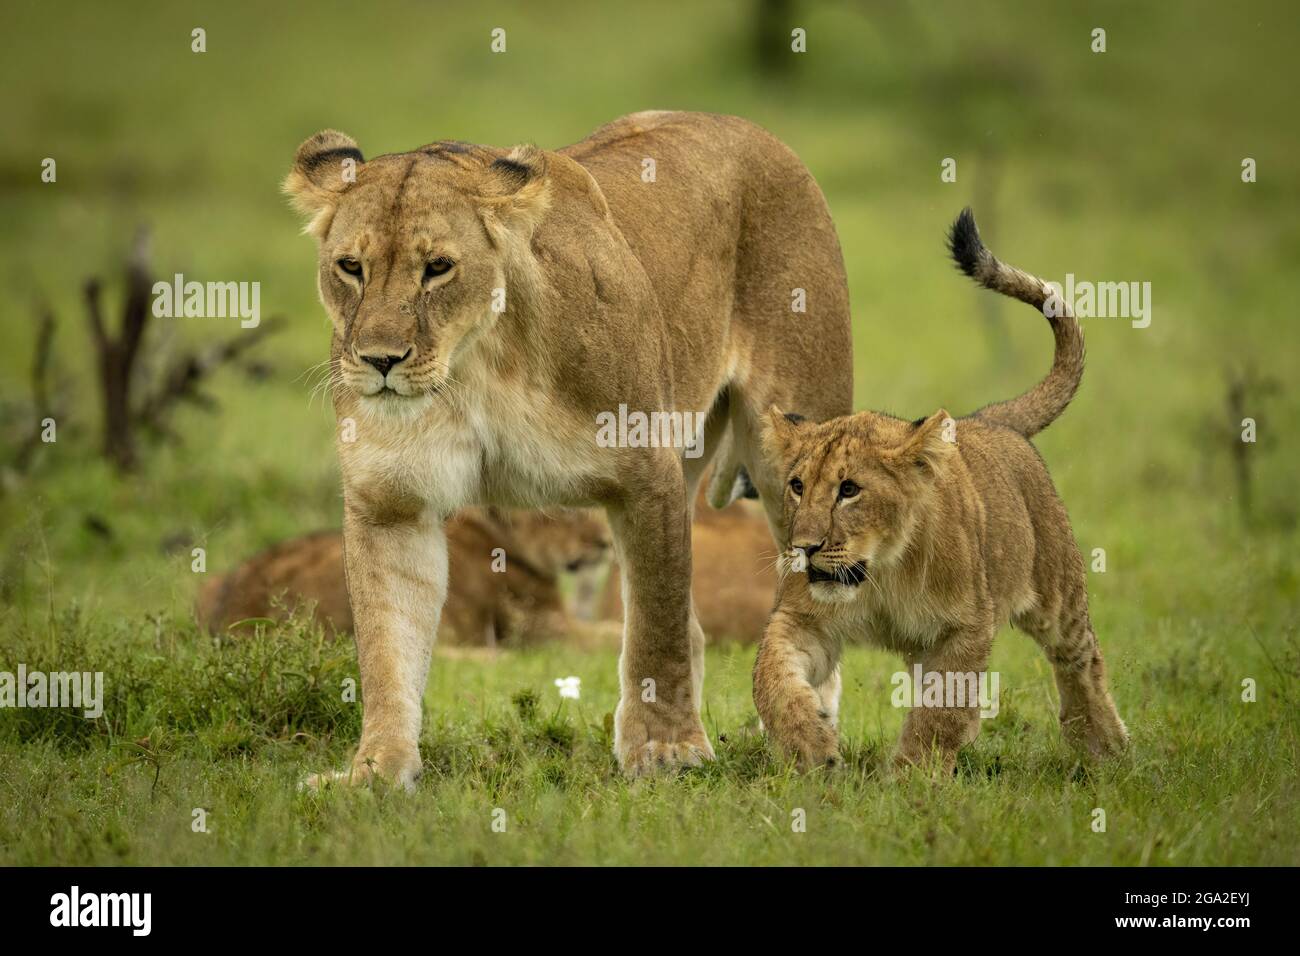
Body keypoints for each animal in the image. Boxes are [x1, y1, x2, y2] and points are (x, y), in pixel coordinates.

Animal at [284, 111, 853, 786]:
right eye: (350, 267)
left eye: (438, 267)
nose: (379, 360)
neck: (472, 366)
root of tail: (745, 125)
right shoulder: (391, 502)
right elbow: (386, 650)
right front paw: (375, 770)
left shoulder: (645, 474)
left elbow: (654, 626)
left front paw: (666, 750)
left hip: (792, 455)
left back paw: (809, 728)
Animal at [753, 209, 1128, 774]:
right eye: (797, 486)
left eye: (849, 490)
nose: (803, 548)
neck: (881, 572)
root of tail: (991, 419)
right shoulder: (804, 619)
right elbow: (771, 677)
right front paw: (811, 745)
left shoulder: (966, 626)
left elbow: (940, 712)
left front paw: (915, 777)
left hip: (1057, 593)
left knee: (1082, 659)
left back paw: (1107, 746)